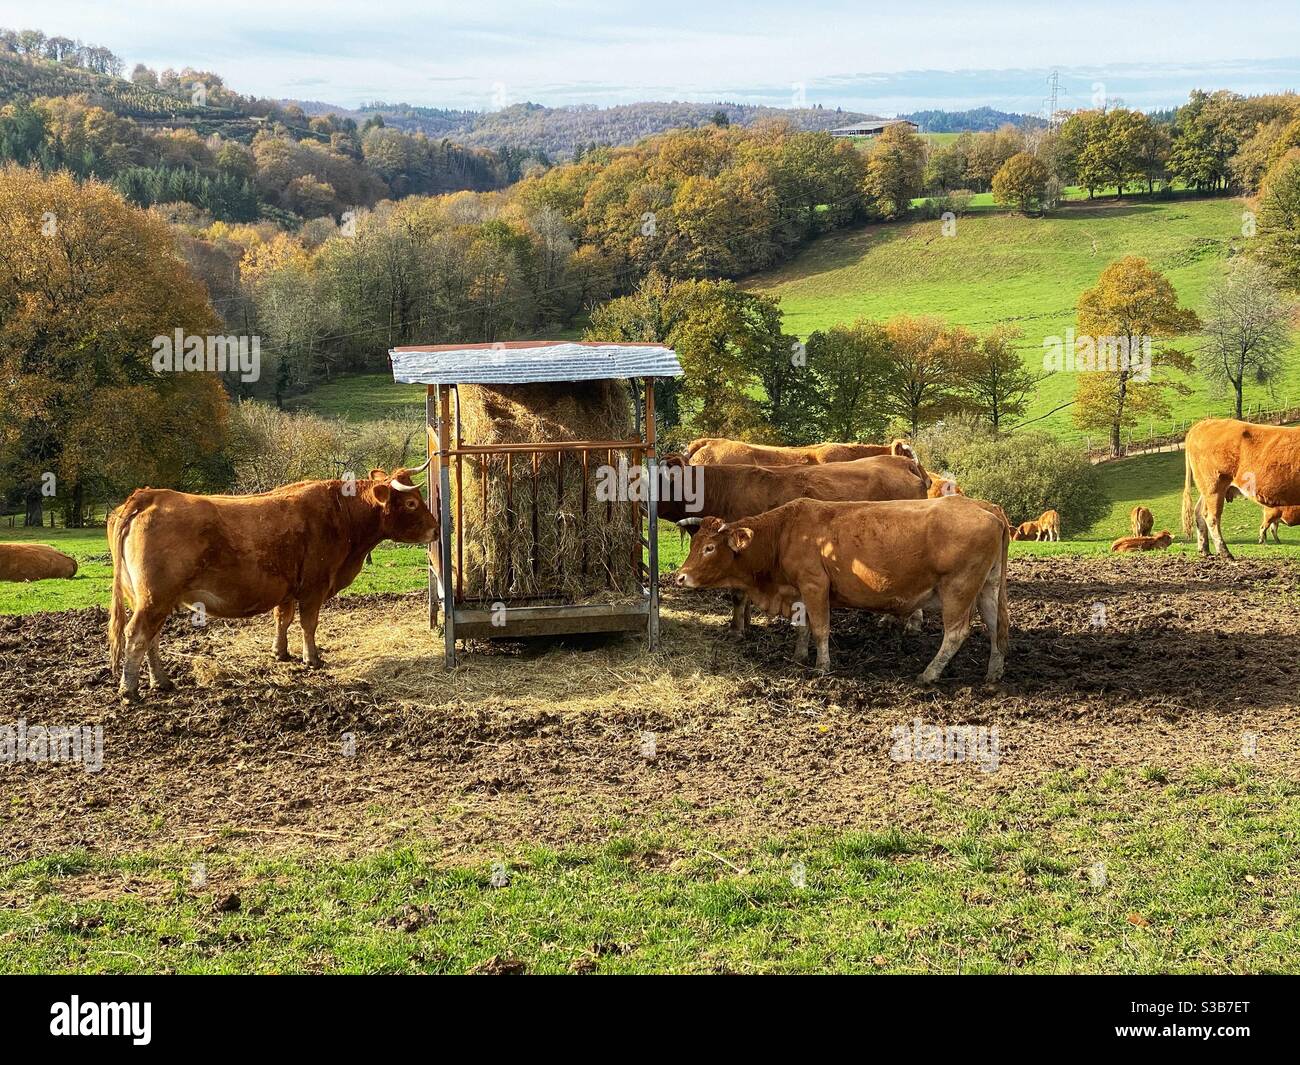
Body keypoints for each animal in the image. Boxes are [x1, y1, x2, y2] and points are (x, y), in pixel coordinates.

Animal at [108, 464, 438, 700]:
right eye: (411, 502)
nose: (436, 529)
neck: (341, 514)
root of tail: (150, 495)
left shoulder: (289, 589)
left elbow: (283, 619)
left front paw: (280, 652)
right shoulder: (314, 587)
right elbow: (308, 624)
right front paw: (312, 658)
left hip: (150, 600)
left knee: (151, 638)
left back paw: (161, 681)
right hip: (155, 599)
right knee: (137, 635)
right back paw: (130, 690)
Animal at [660, 454, 930, 634]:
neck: (723, 488)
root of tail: (903, 462)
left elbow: (737, 595)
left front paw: (737, 629)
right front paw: (744, 623)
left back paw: (912, 622)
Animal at [671, 496, 1010, 683]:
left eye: (710, 548)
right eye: (694, 542)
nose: (680, 577)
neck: (784, 532)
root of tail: (985, 507)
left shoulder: (815, 585)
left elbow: (821, 628)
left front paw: (822, 666)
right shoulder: (800, 591)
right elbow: (804, 627)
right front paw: (799, 655)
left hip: (958, 589)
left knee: (956, 633)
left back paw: (928, 674)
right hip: (988, 588)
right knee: (996, 626)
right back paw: (994, 672)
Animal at [1182, 418, 1300, 559]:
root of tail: (1205, 422)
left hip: (1207, 489)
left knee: (1199, 512)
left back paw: (1204, 550)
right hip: (1214, 487)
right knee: (1211, 517)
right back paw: (1224, 552)